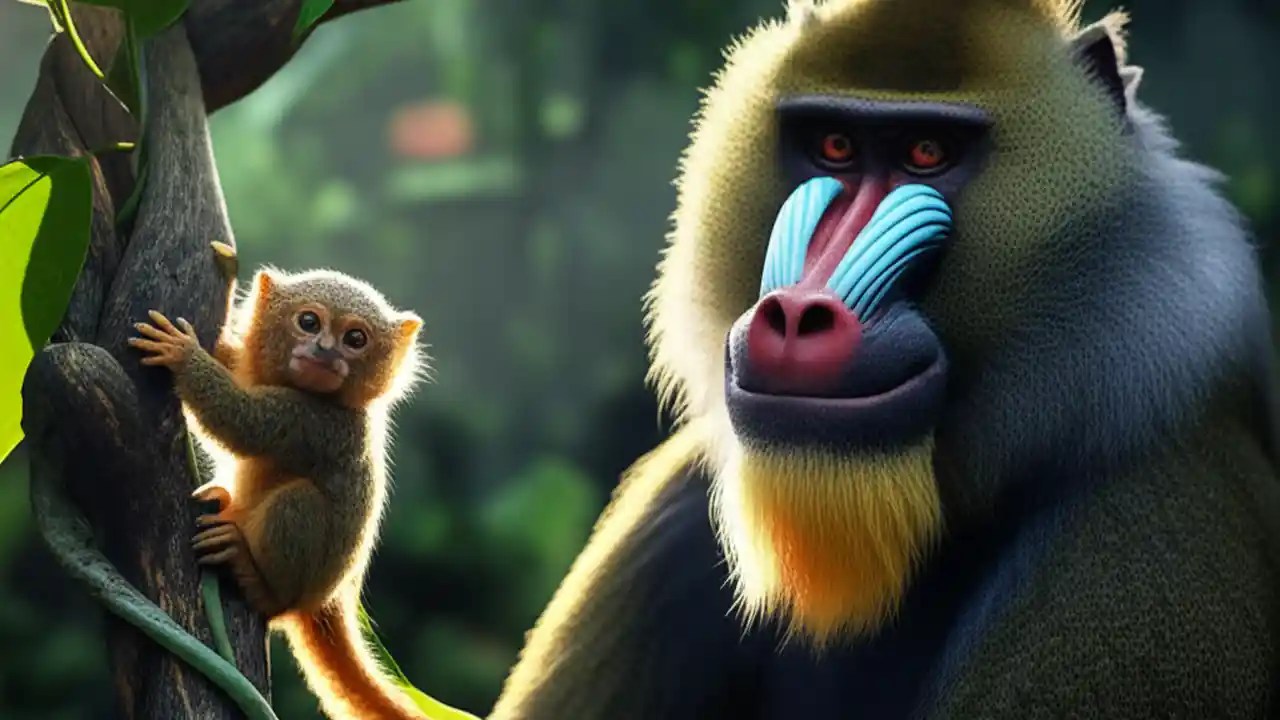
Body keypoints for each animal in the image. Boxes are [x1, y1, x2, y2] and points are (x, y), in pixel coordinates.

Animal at [128, 265, 432, 720]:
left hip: (301, 576)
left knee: (297, 504)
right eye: (308, 322)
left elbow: (242, 423)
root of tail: (328, 599)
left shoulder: (314, 424)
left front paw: (183, 355)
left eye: (355, 339)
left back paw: (255, 580)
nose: (325, 350)